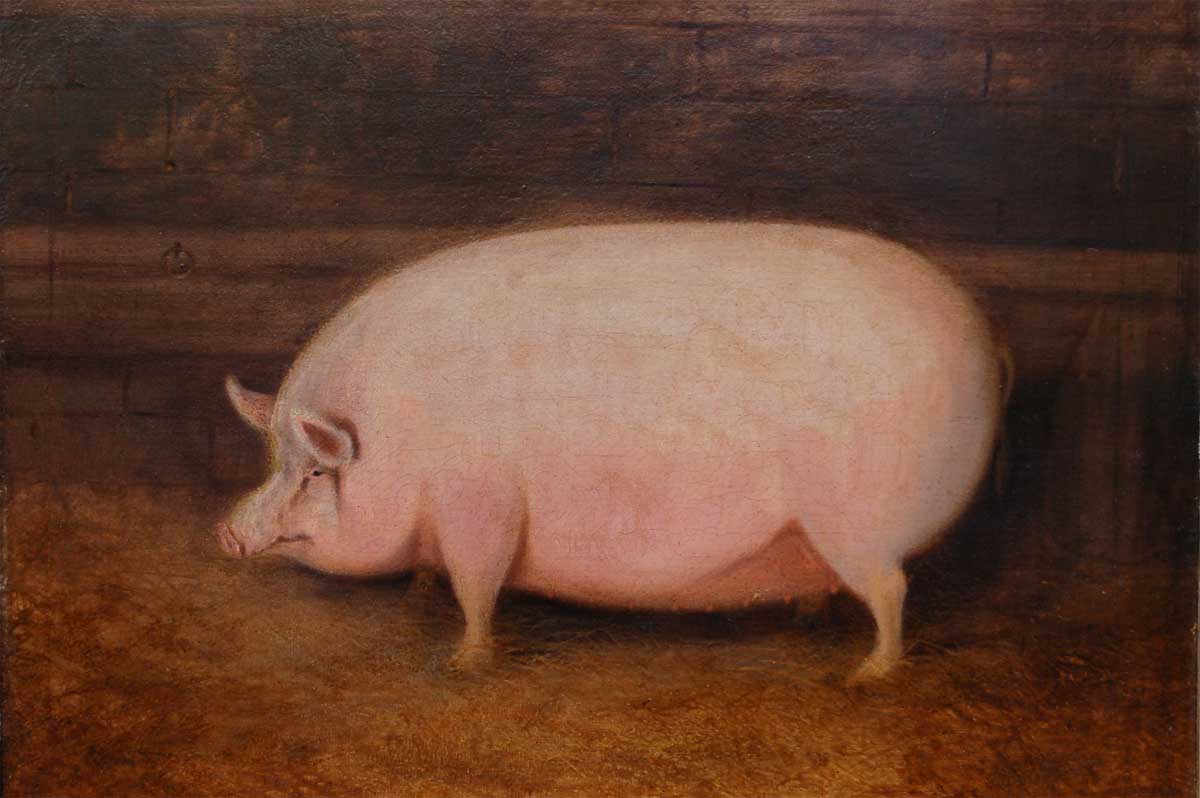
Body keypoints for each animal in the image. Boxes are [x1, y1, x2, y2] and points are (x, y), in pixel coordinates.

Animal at [216, 222, 1008, 683]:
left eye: (315, 471)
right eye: (276, 460)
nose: (226, 531)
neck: (402, 441)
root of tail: (985, 340)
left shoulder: (481, 507)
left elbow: (478, 588)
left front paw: (465, 662)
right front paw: (419, 595)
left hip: (856, 520)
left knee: (892, 590)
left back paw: (869, 675)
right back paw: (810, 619)